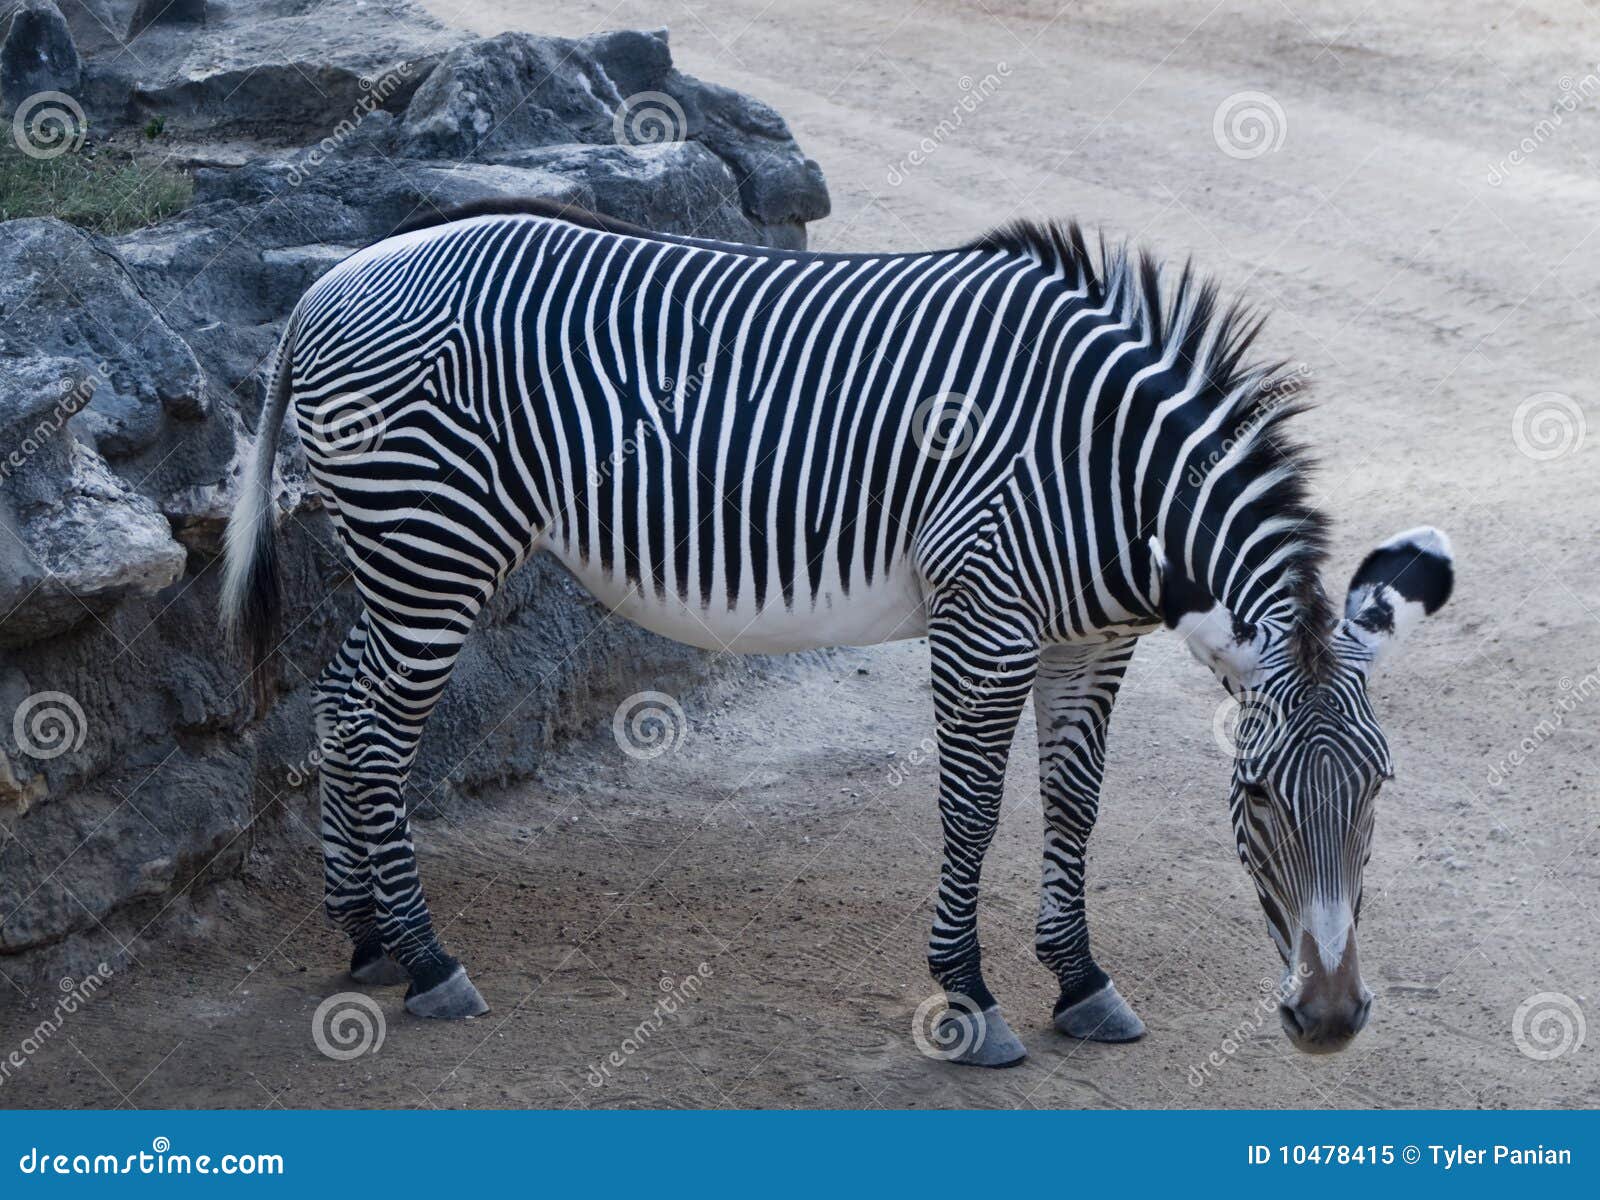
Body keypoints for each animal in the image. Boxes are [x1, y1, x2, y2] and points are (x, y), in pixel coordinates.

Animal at [222, 199, 1454, 1064]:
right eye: (1255, 794)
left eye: (1382, 788)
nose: (1330, 1025)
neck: (1103, 465)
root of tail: (334, 277)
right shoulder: (984, 619)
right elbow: (972, 810)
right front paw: (970, 1000)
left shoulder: (1090, 641)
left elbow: (1075, 806)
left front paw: (1080, 982)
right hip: (432, 540)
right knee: (376, 731)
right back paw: (427, 959)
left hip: (400, 549)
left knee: (339, 704)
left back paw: (365, 935)